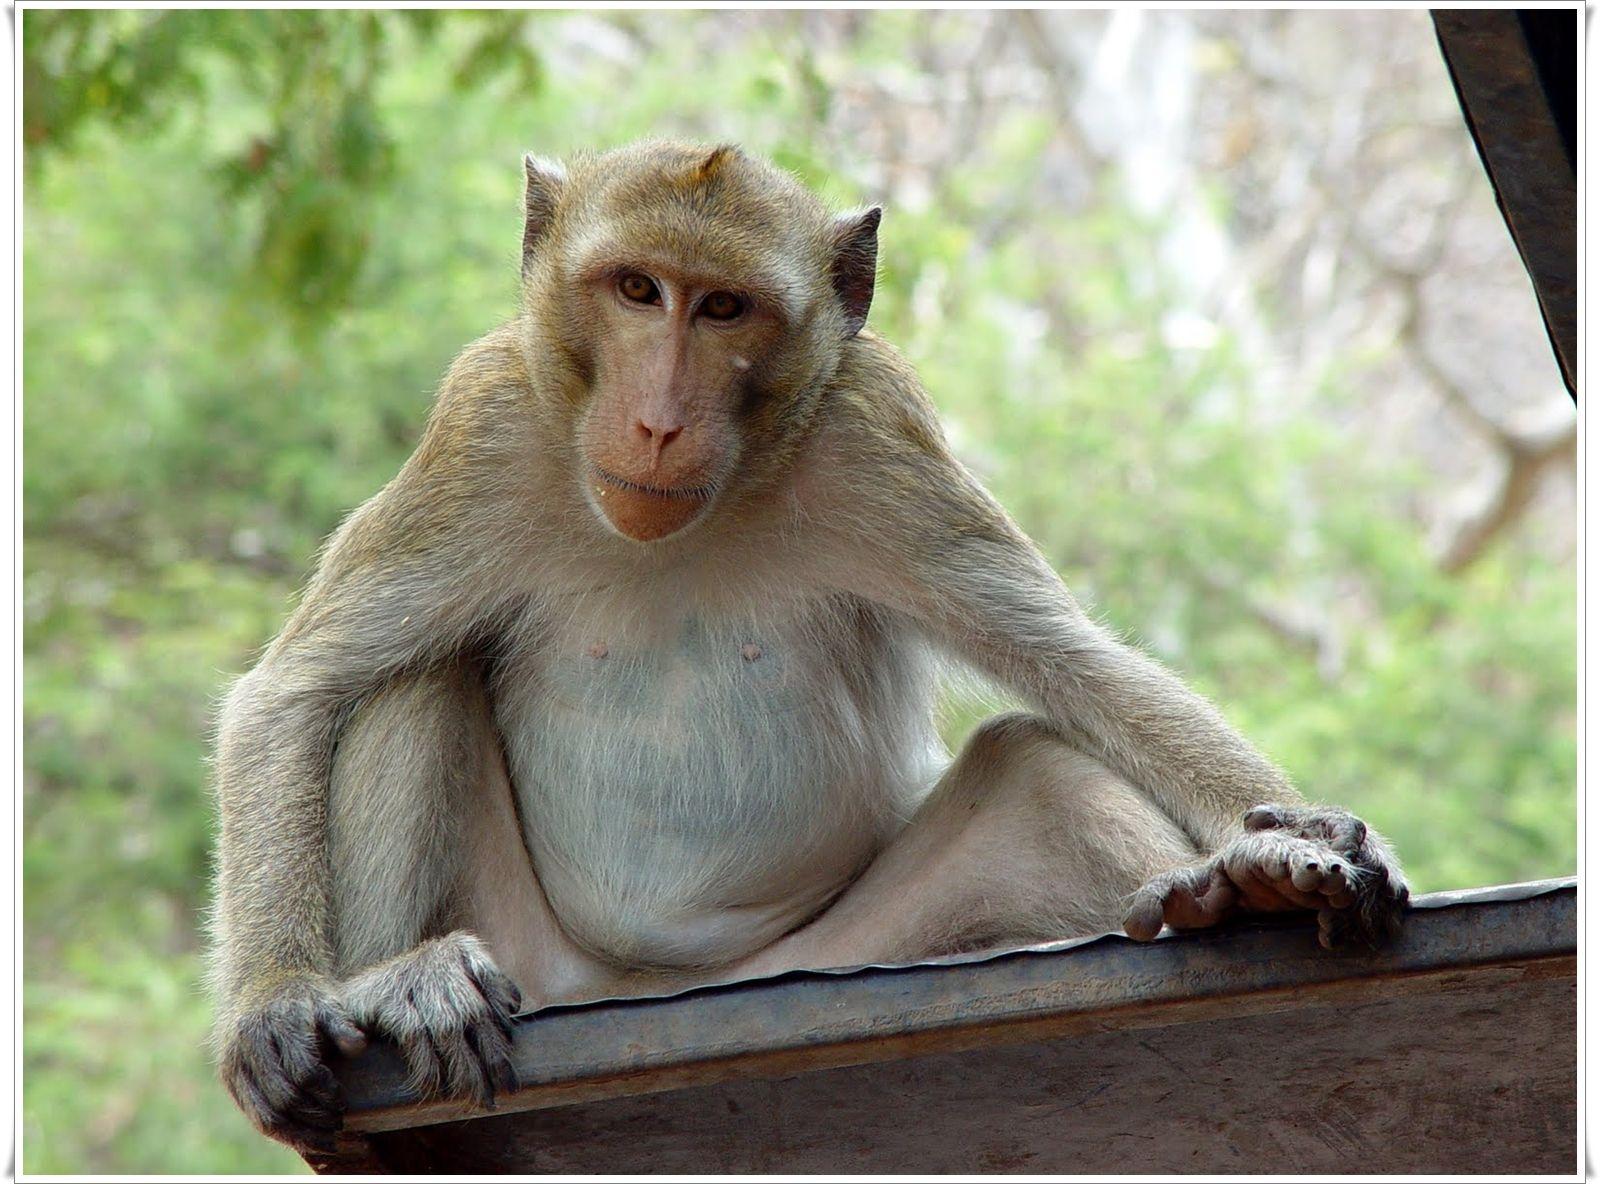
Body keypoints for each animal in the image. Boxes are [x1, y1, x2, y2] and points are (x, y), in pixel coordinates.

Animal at [208, 140, 1408, 1151]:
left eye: (723, 308)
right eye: (636, 290)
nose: (656, 421)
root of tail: (637, 1001)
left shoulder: (876, 434)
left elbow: (1074, 665)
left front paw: (1273, 855)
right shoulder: (484, 425)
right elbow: (295, 691)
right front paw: (275, 1001)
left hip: (831, 956)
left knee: (1044, 776)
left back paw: (1214, 898)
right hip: (538, 967)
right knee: (407, 679)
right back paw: (408, 982)